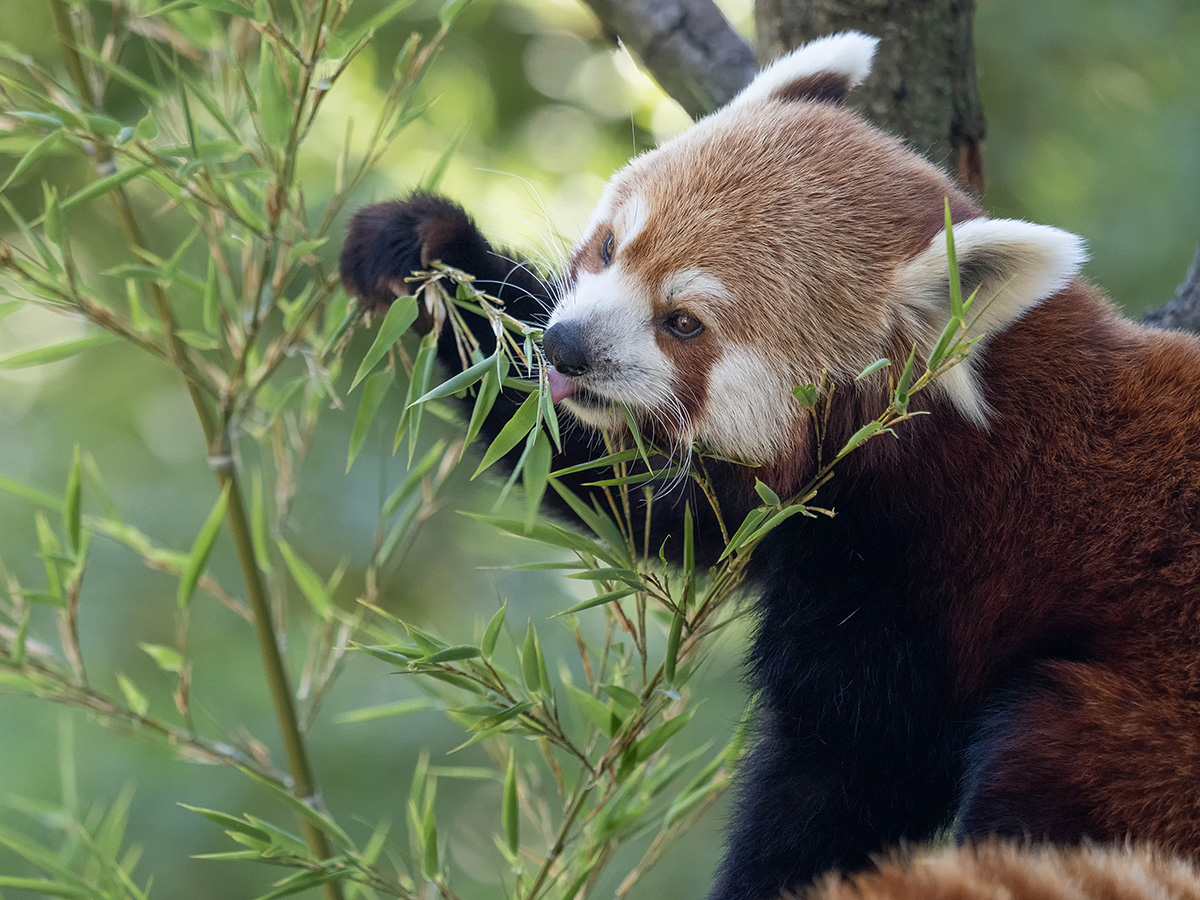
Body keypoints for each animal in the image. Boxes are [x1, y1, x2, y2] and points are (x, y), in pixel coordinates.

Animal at [341, 31, 1200, 900]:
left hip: (1132, 721)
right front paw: (426, 250)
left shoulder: (922, 572)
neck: (935, 438)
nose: (567, 346)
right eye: (611, 247)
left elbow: (846, 773)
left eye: (684, 323)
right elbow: (620, 482)